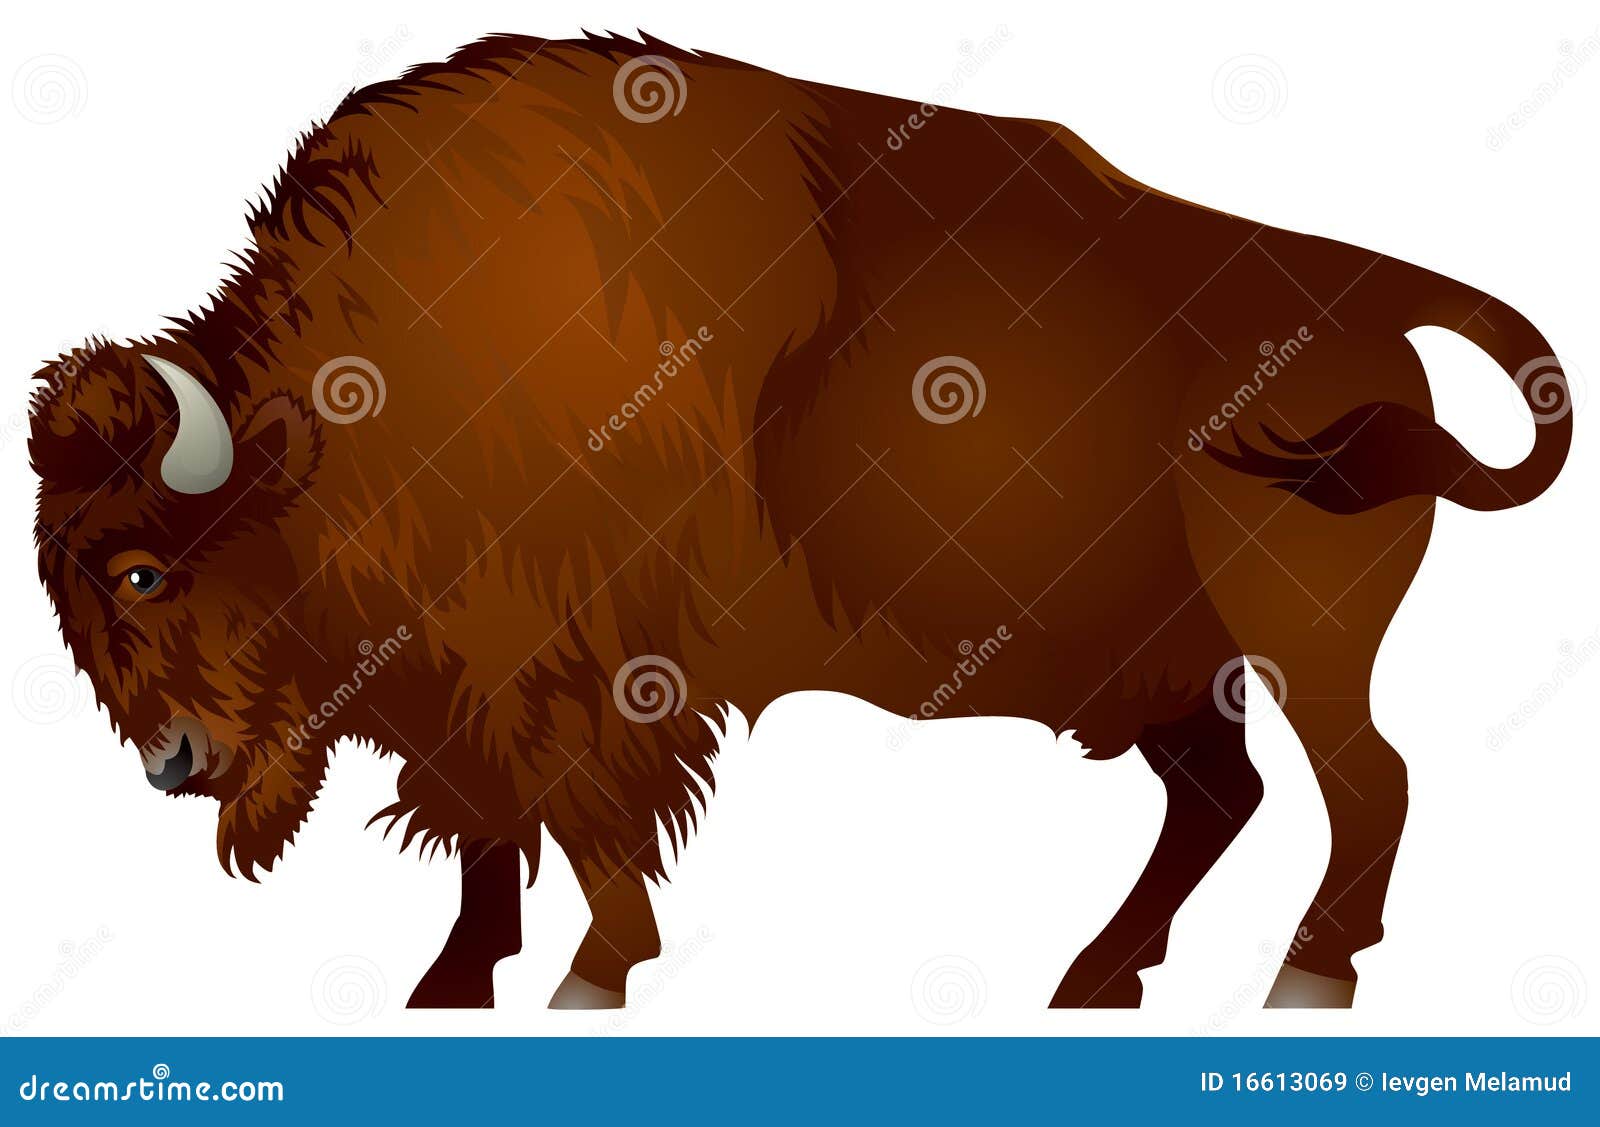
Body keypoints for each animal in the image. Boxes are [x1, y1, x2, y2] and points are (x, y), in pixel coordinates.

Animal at [30, 33, 1569, 1011]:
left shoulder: (574, 675)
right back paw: (1093, 978)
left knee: (1367, 780)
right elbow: (481, 832)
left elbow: (583, 823)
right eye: (69, 590)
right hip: (1172, 662)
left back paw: (1307, 975)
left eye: (145, 566)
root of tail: (1368, 293)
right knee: (1223, 792)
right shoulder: (458, 686)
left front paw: (592, 973)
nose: (171, 762)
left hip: (1301, 631)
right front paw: (452, 982)